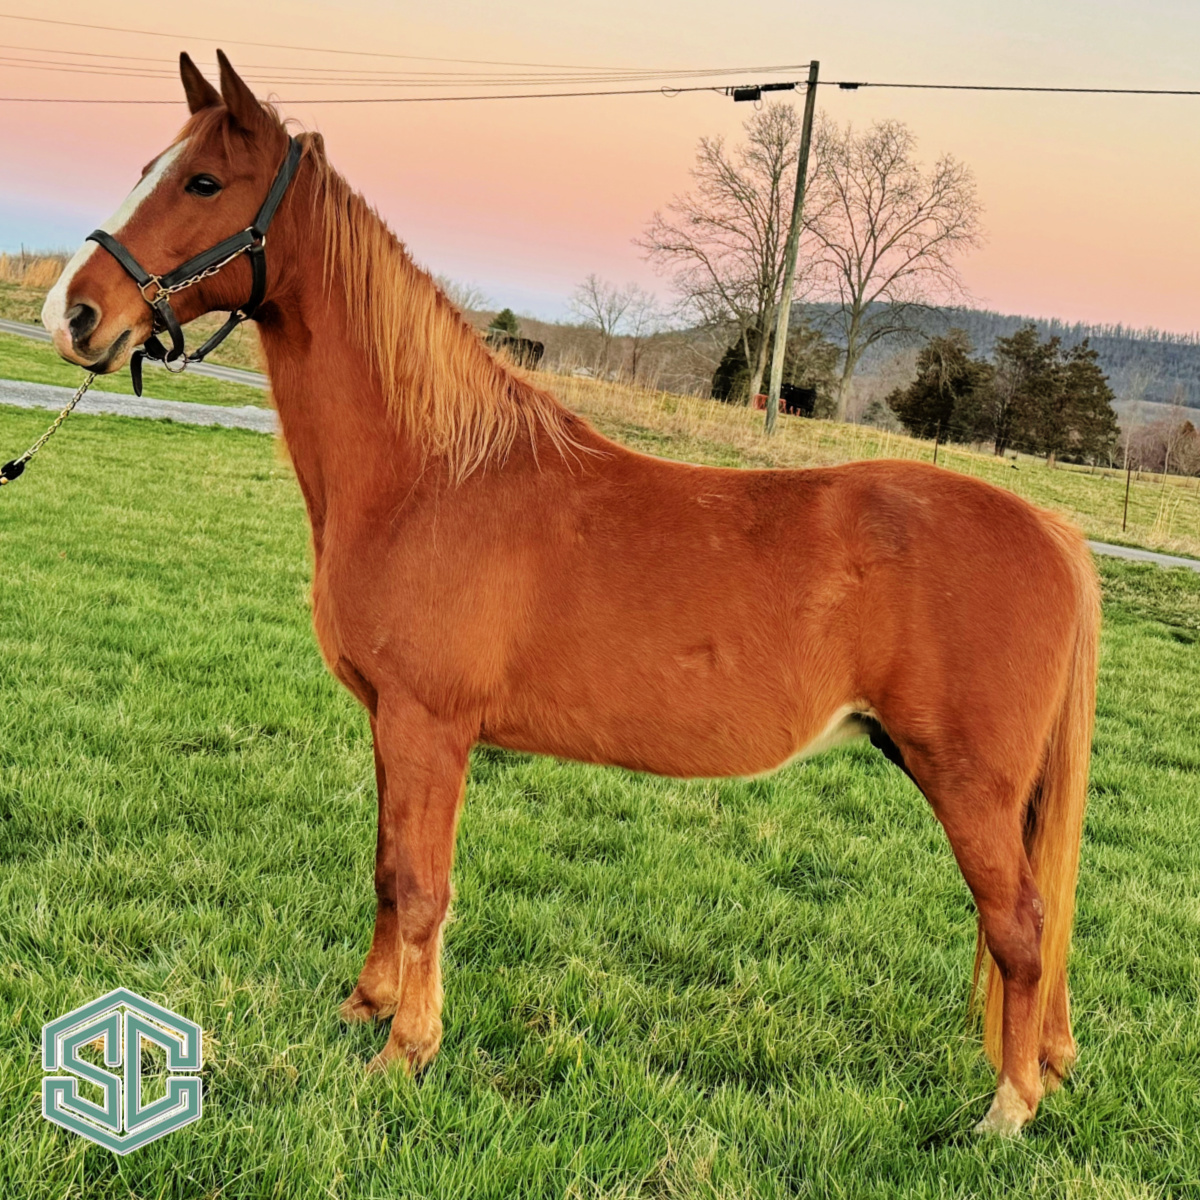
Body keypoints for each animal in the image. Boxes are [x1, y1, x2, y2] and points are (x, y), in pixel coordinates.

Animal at [42, 52, 1099, 1137]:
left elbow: (422, 884)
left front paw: (405, 1052)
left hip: (969, 786)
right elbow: (385, 868)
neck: (431, 473)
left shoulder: (429, 724)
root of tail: (1055, 535)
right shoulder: (388, 722)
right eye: (151, 166)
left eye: (203, 183)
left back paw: (1008, 1107)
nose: (73, 314)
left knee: (1021, 925)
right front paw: (364, 1005)